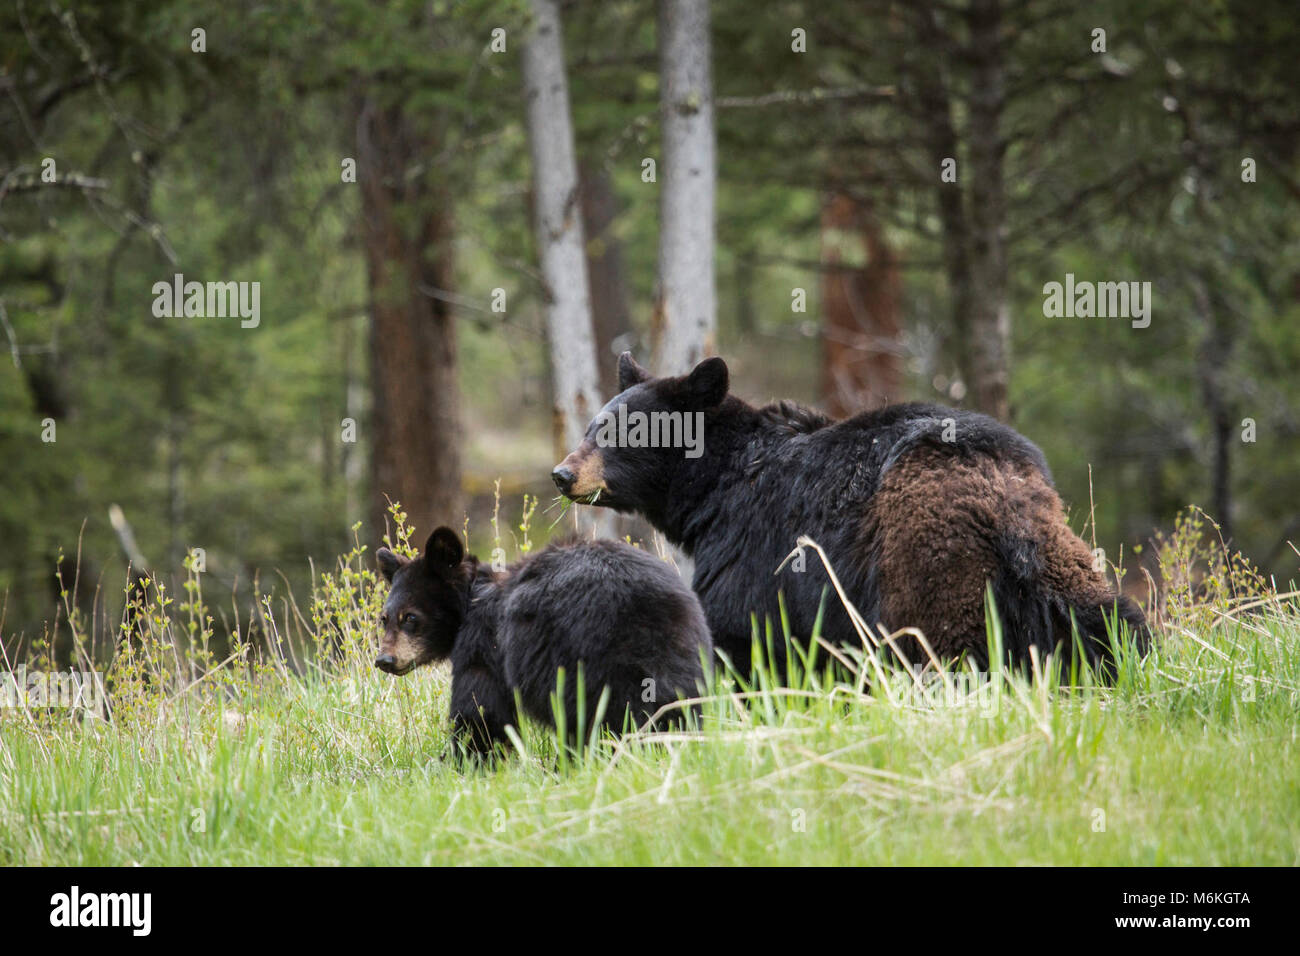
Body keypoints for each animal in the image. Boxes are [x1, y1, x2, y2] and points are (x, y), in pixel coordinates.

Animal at [374, 527, 712, 757]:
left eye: (410, 617)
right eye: (384, 618)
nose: (384, 660)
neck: (473, 598)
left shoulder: (484, 644)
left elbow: (481, 710)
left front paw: (466, 760)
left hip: (584, 657)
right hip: (683, 651)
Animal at [551, 351, 1150, 679]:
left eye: (623, 432)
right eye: (593, 426)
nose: (562, 474)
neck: (717, 487)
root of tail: (1000, 494)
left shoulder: (753, 545)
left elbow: (740, 633)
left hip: (927, 561)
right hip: (1056, 556)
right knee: (1105, 617)